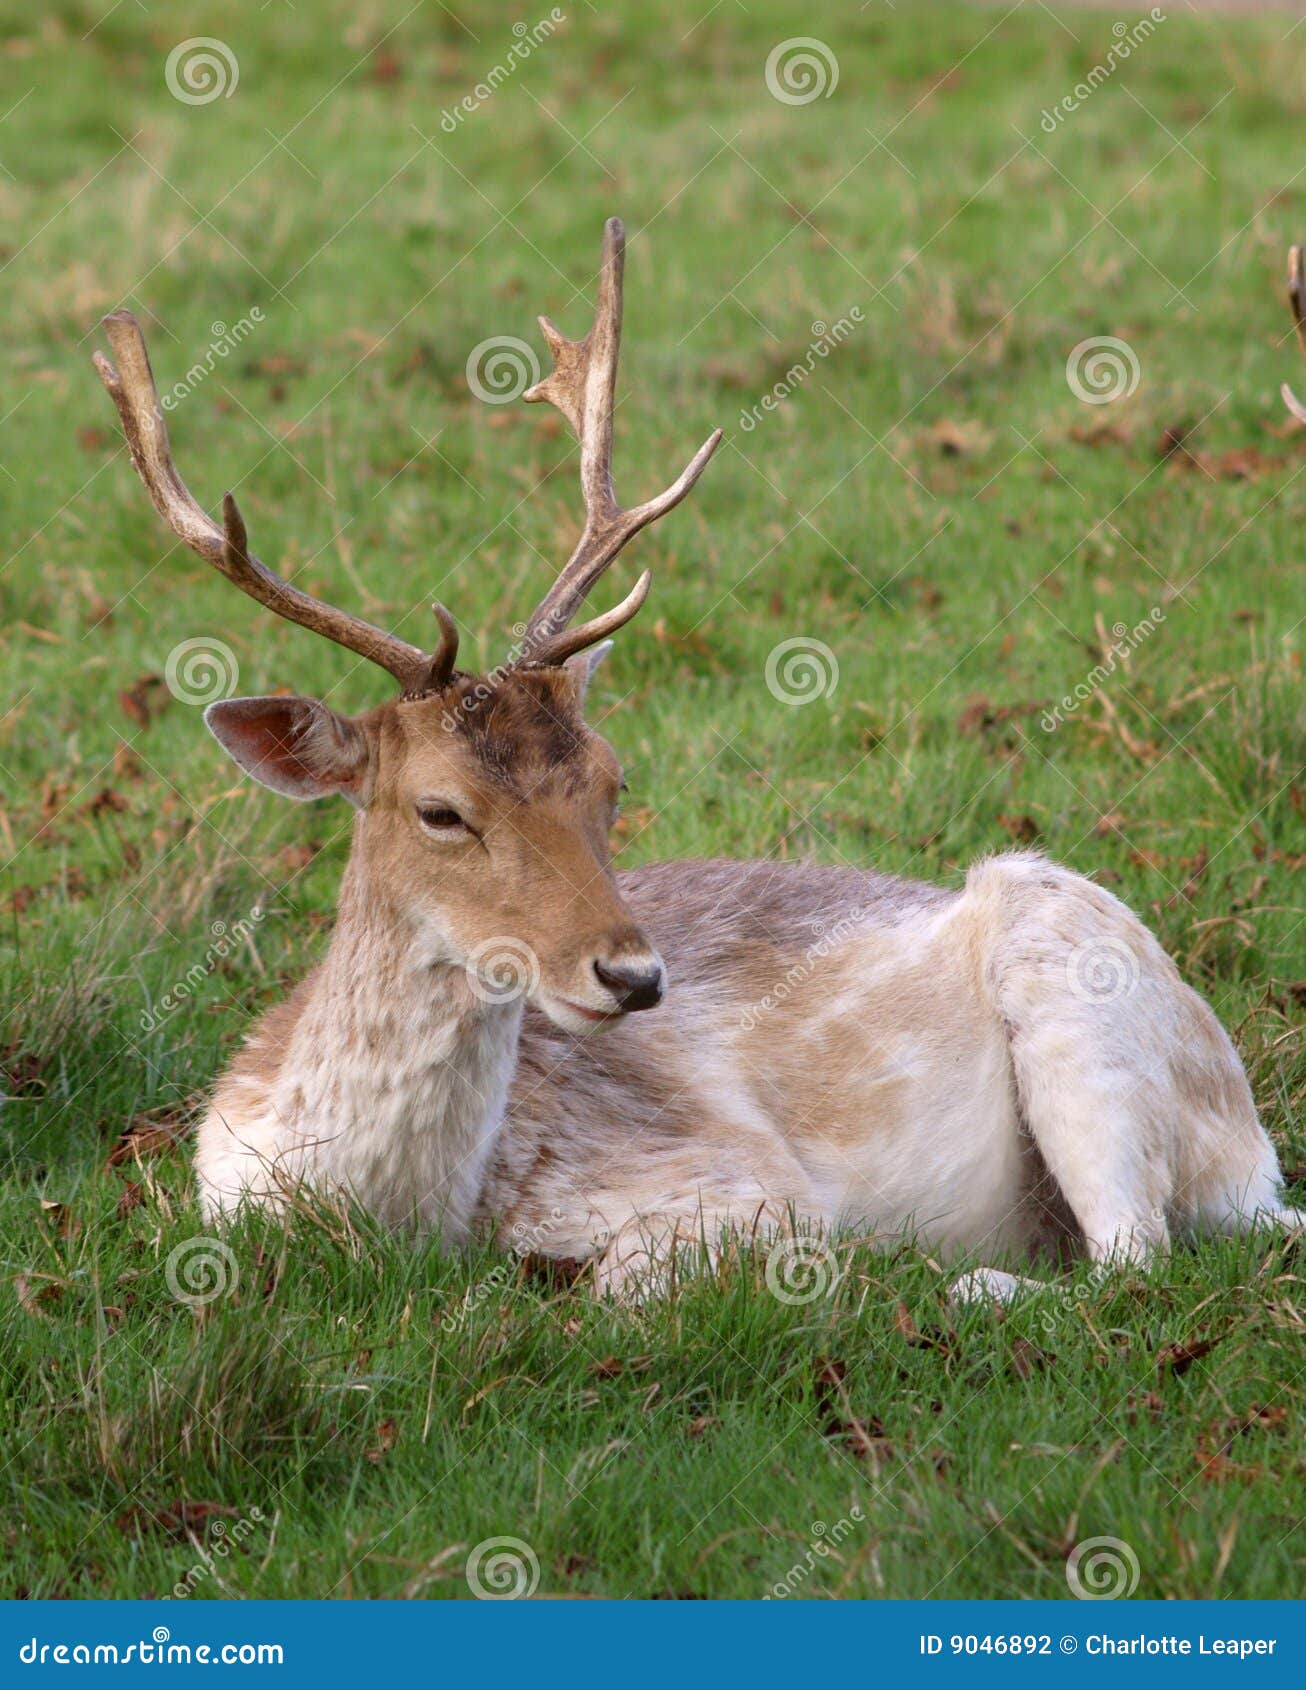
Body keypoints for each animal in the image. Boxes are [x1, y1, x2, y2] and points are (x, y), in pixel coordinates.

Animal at [94, 221, 1304, 1298]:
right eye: (440, 809)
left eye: (610, 783)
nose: (633, 975)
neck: (393, 1216)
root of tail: (1254, 1157)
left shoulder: (741, 1180)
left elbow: (631, 1282)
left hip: (1085, 994)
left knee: (1134, 1260)